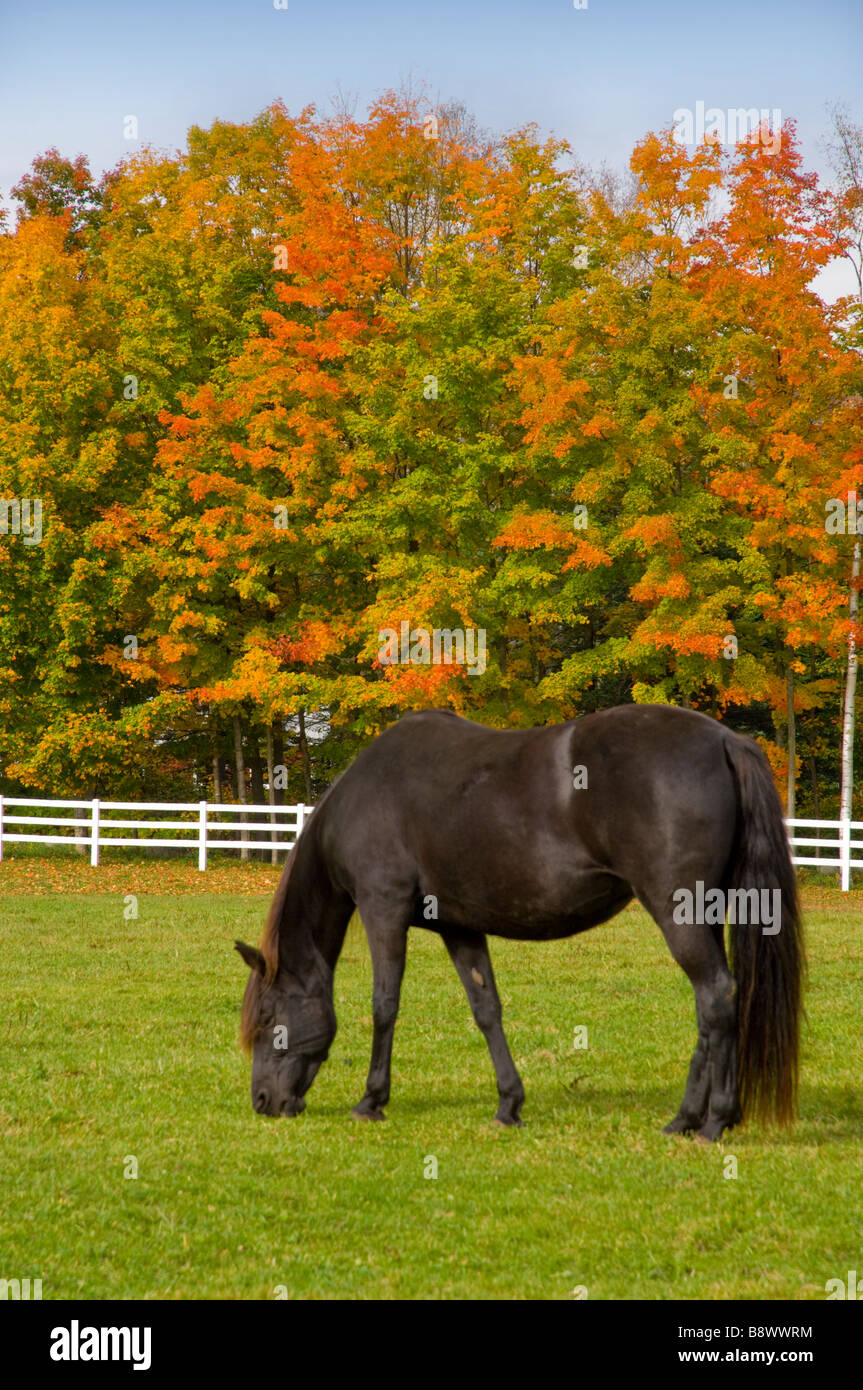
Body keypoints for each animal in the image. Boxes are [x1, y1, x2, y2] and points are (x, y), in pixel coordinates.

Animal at [235, 704, 804, 1141]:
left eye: (268, 1018)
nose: (263, 1100)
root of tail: (724, 739)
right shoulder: (459, 927)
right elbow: (487, 1010)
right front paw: (509, 1104)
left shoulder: (383, 910)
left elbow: (384, 1005)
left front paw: (371, 1100)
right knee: (715, 1006)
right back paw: (689, 1118)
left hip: (676, 912)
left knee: (715, 996)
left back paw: (711, 1121)